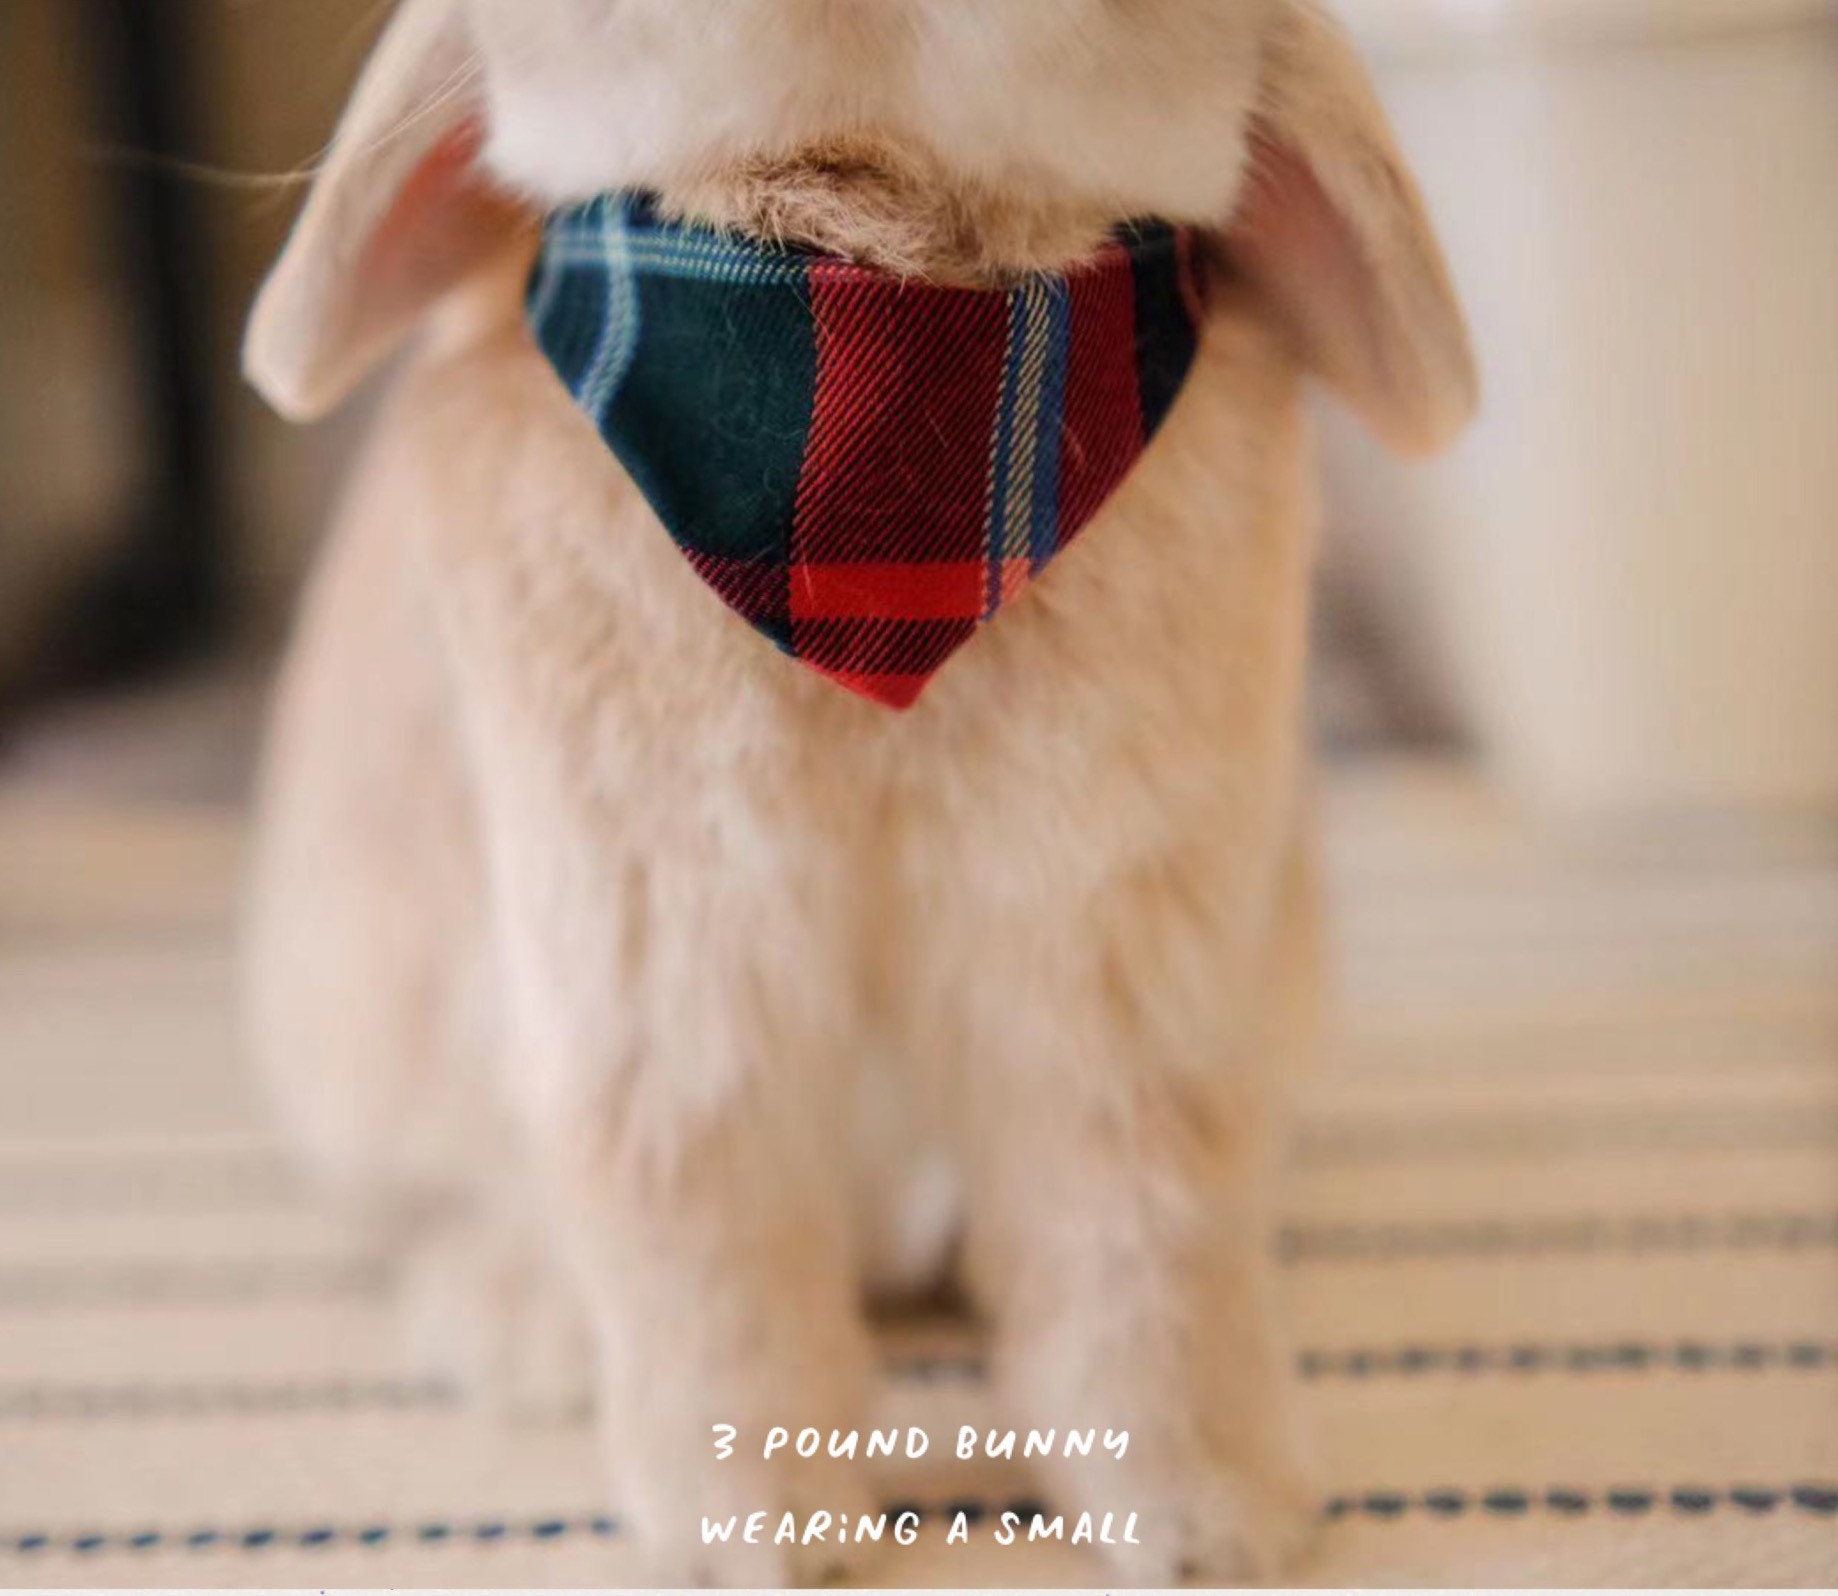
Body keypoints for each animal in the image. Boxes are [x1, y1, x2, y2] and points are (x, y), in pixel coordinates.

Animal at [242, 0, 1475, 1584]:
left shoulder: (1124, 977)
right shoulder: (661, 974)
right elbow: (702, 1233)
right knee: (457, 1203)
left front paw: (1212, 1516)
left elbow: (1145, 1232)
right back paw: (523, 1336)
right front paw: (754, 1535)